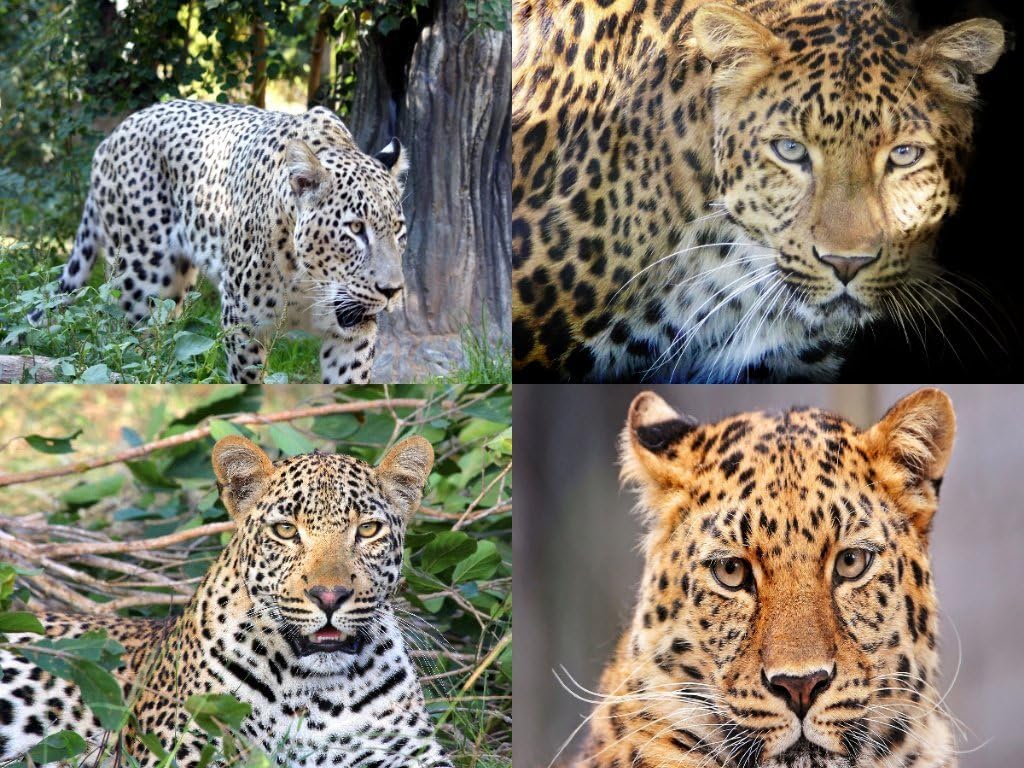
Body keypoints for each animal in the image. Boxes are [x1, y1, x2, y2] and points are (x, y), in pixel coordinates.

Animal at [0, 435, 452, 768]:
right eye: (286, 531)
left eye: (369, 530)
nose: (329, 596)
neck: (316, 693)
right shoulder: (181, 750)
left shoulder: (411, 754)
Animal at [29, 99, 409, 384]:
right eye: (355, 228)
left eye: (398, 230)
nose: (392, 291)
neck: (309, 284)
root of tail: (113, 136)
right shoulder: (241, 325)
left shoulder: (353, 335)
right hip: (143, 283)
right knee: (131, 346)